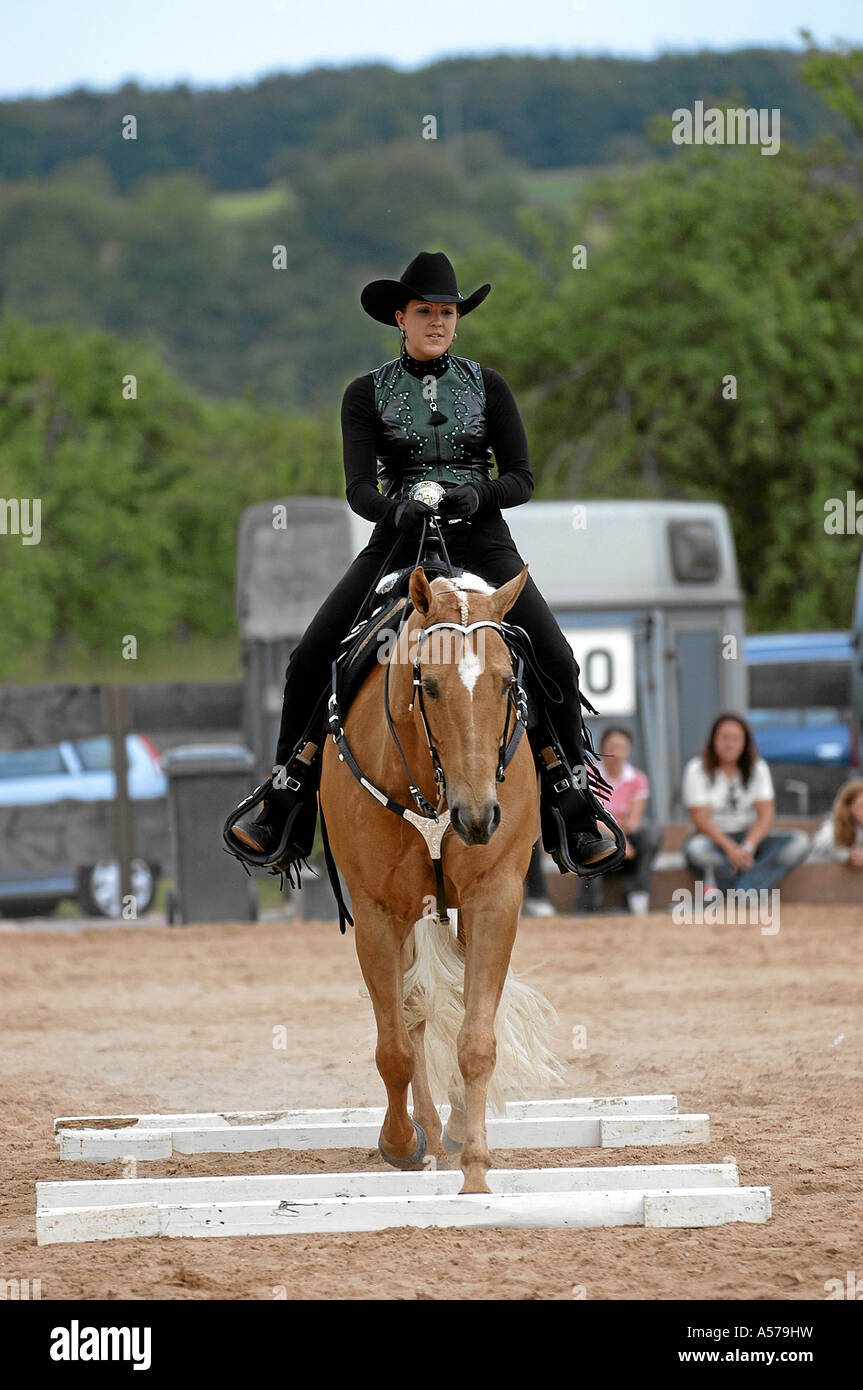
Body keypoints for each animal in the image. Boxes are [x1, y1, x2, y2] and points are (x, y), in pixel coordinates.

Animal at [320, 563, 565, 1195]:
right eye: (428, 685)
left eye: (506, 683)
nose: (478, 817)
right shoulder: (377, 914)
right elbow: (396, 1045)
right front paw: (401, 1143)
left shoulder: (493, 899)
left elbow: (475, 1037)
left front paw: (475, 1169)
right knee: (412, 1016)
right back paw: (425, 1131)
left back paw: (450, 1130)